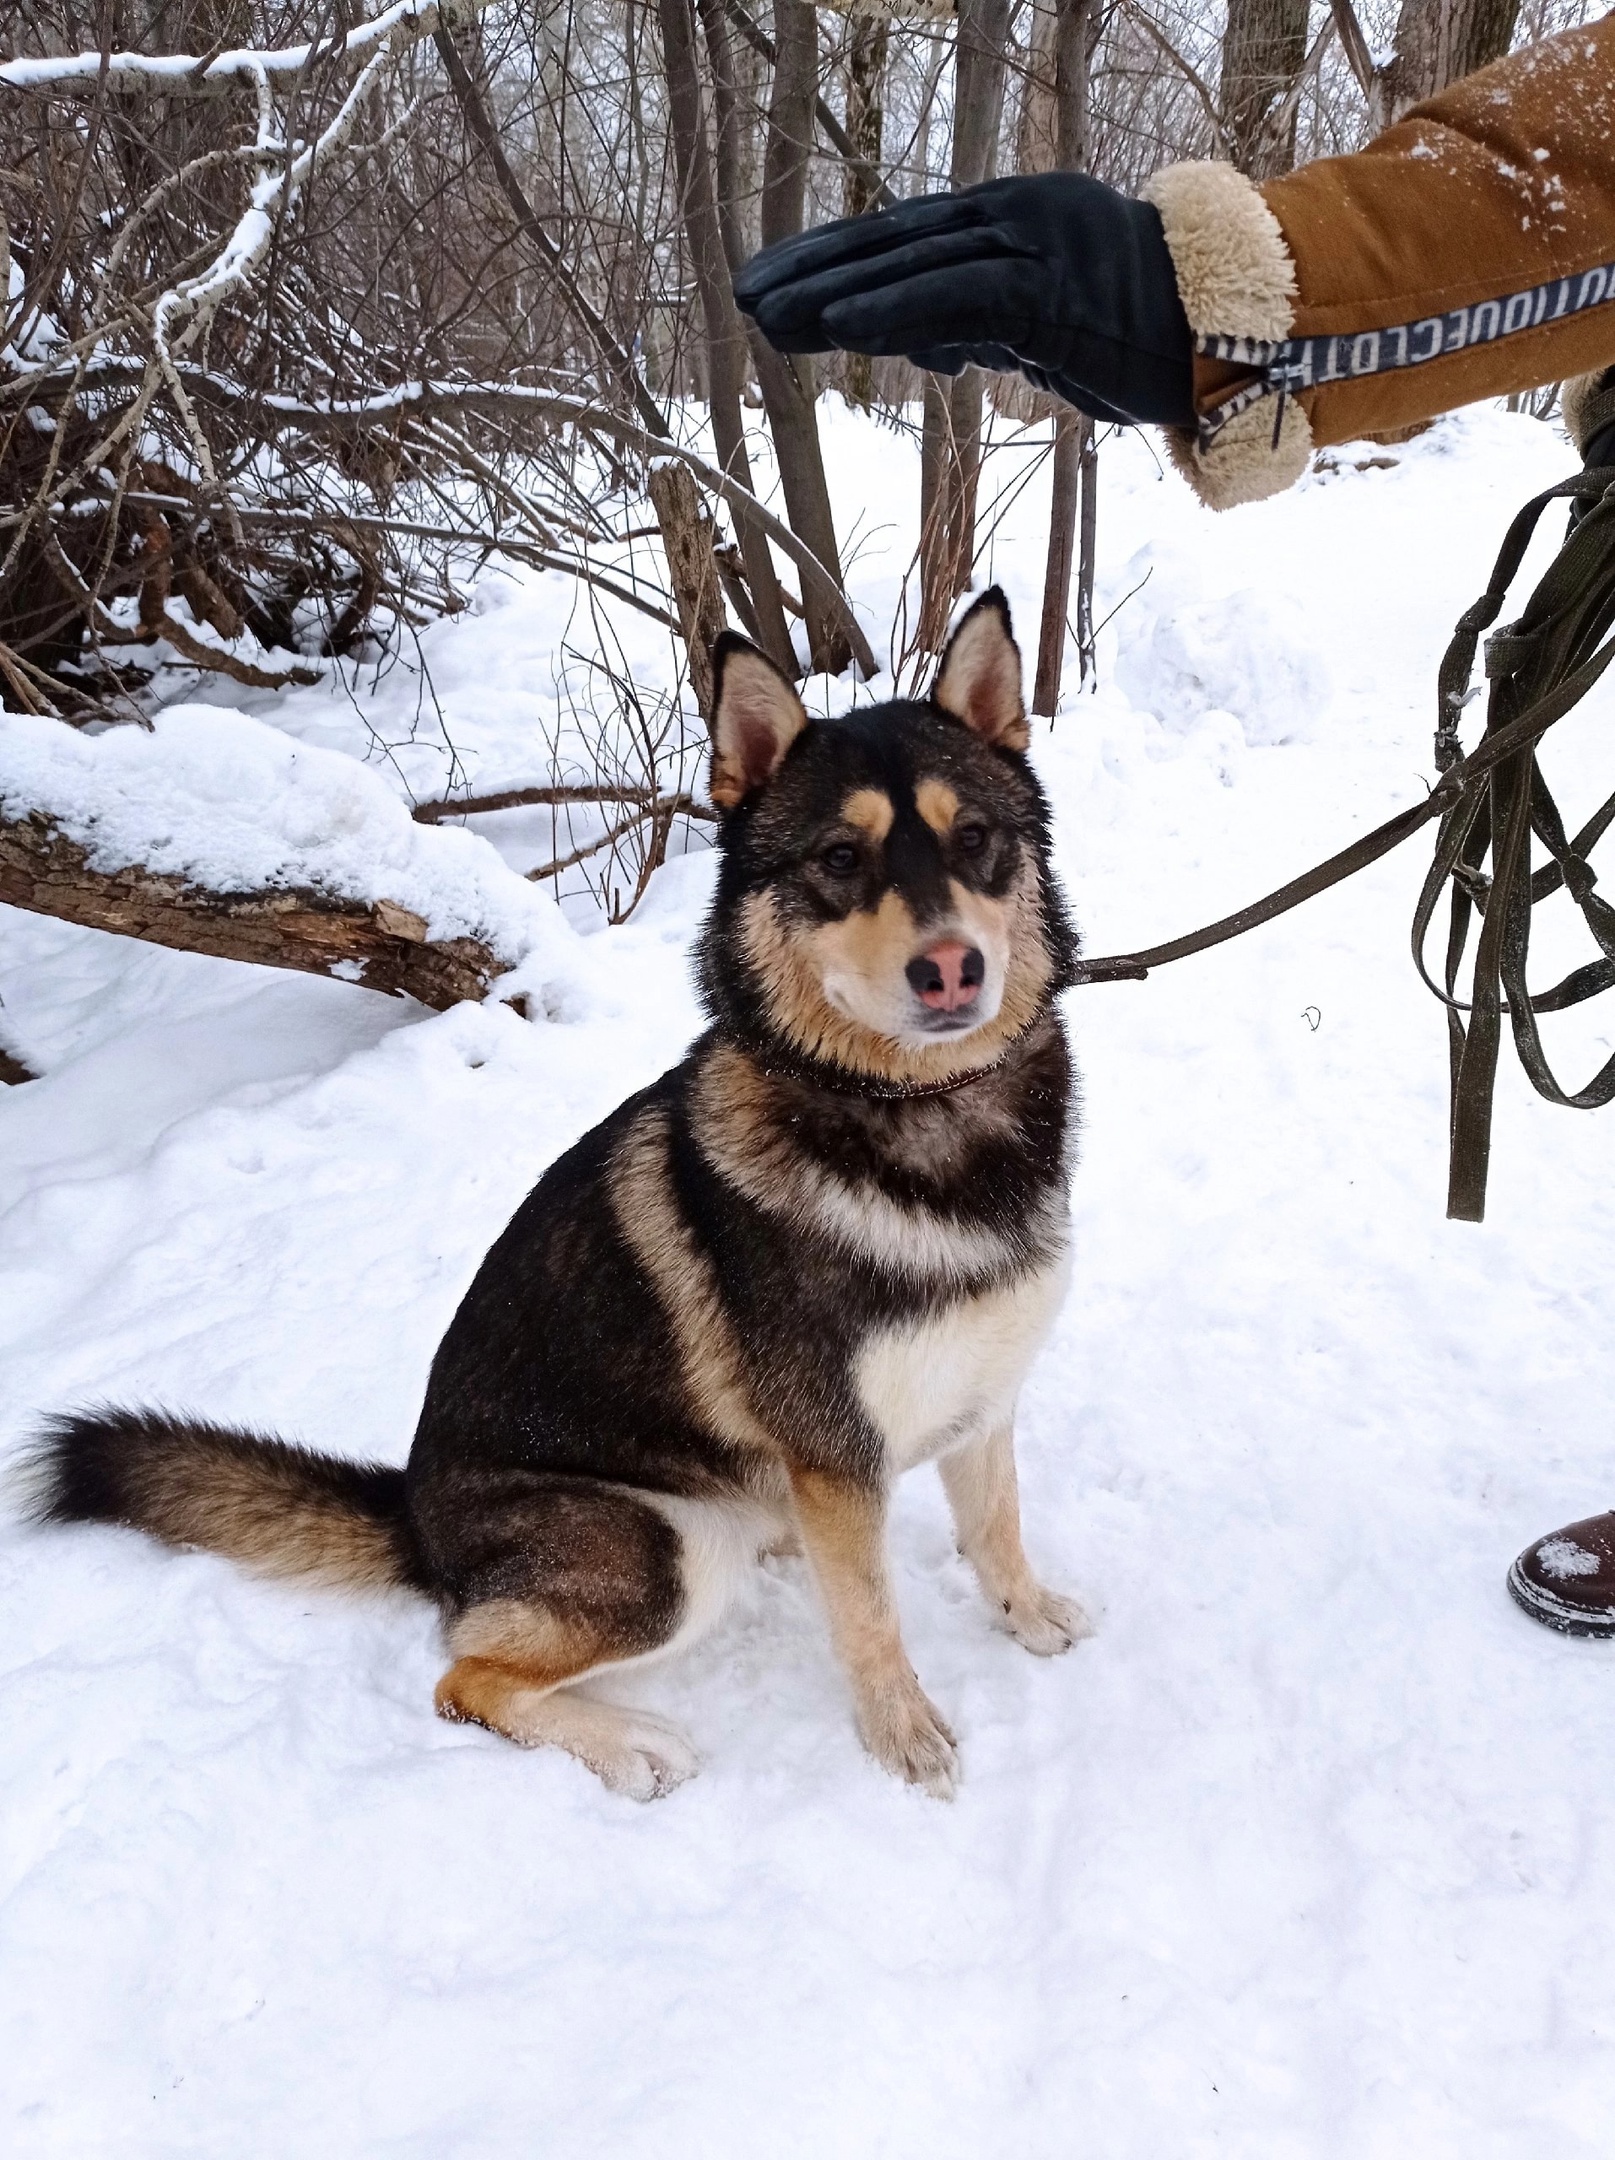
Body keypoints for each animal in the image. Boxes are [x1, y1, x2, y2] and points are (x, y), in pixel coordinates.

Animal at [28, 583, 1083, 1797]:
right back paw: (627, 1746)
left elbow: (997, 1529)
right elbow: (869, 1617)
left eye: (975, 839)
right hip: (663, 1547)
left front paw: (1028, 1616)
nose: (951, 968)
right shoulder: (837, 1462)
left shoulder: (982, 1403)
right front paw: (904, 1736)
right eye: (837, 857)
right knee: (464, 1678)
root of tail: (419, 1521)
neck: (922, 1117)